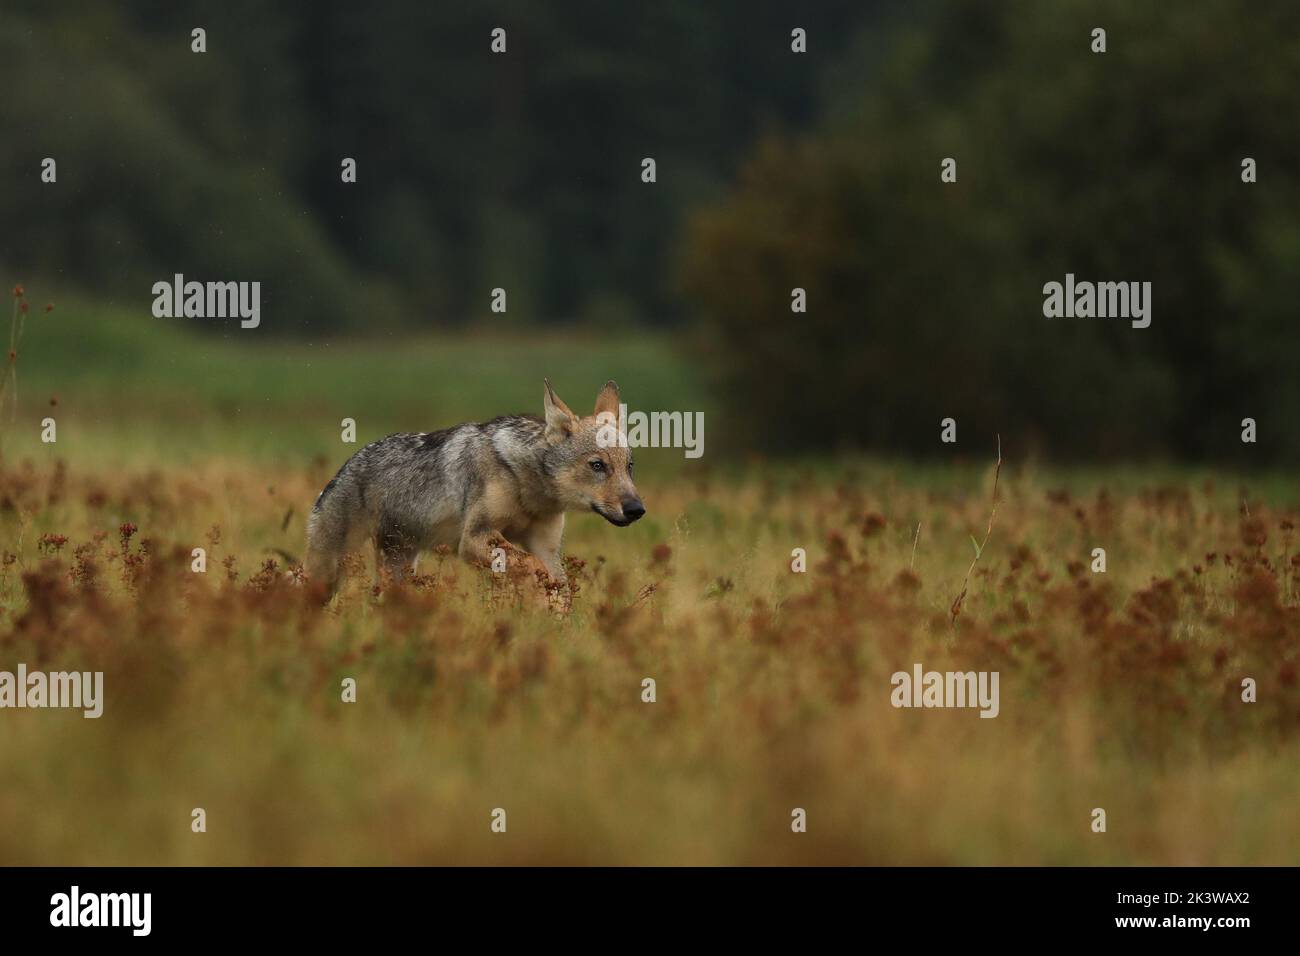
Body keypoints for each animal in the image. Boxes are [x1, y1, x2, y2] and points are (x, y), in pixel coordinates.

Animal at [304, 379, 645, 597]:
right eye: (598, 466)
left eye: (628, 466)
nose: (637, 510)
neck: (527, 487)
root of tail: (347, 464)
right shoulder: (473, 539)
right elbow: (531, 567)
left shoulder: (544, 548)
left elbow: (558, 586)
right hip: (329, 569)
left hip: (398, 564)